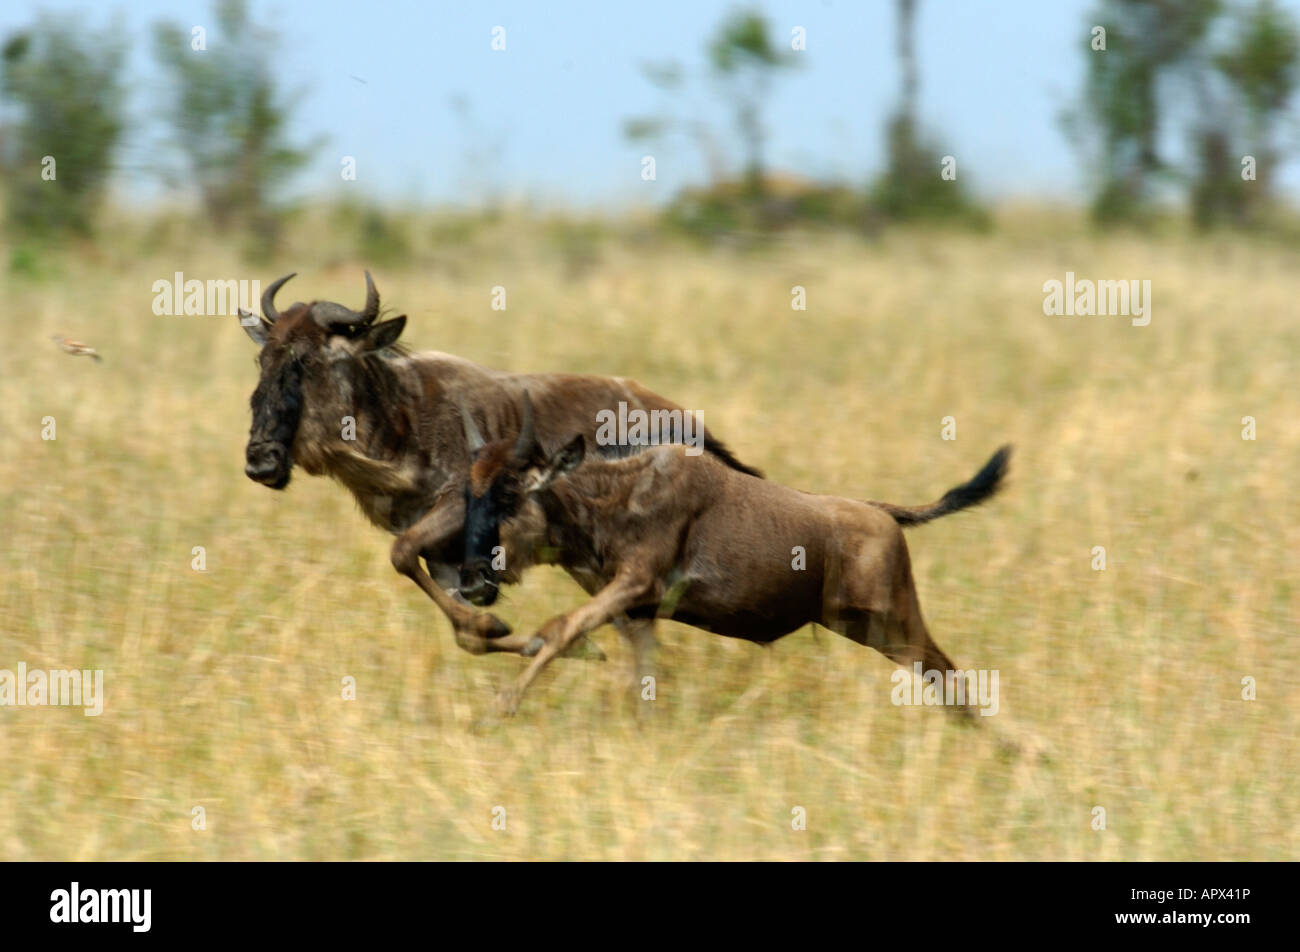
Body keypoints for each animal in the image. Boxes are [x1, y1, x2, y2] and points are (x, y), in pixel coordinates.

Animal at [456, 394, 1010, 715]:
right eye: (468, 494)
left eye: (511, 493)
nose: (471, 580)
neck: (616, 494)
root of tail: (883, 514)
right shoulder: (635, 612)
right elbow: (636, 675)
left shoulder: (636, 584)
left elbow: (558, 629)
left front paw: (503, 705)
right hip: (865, 627)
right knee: (944, 680)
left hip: (896, 620)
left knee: (951, 674)